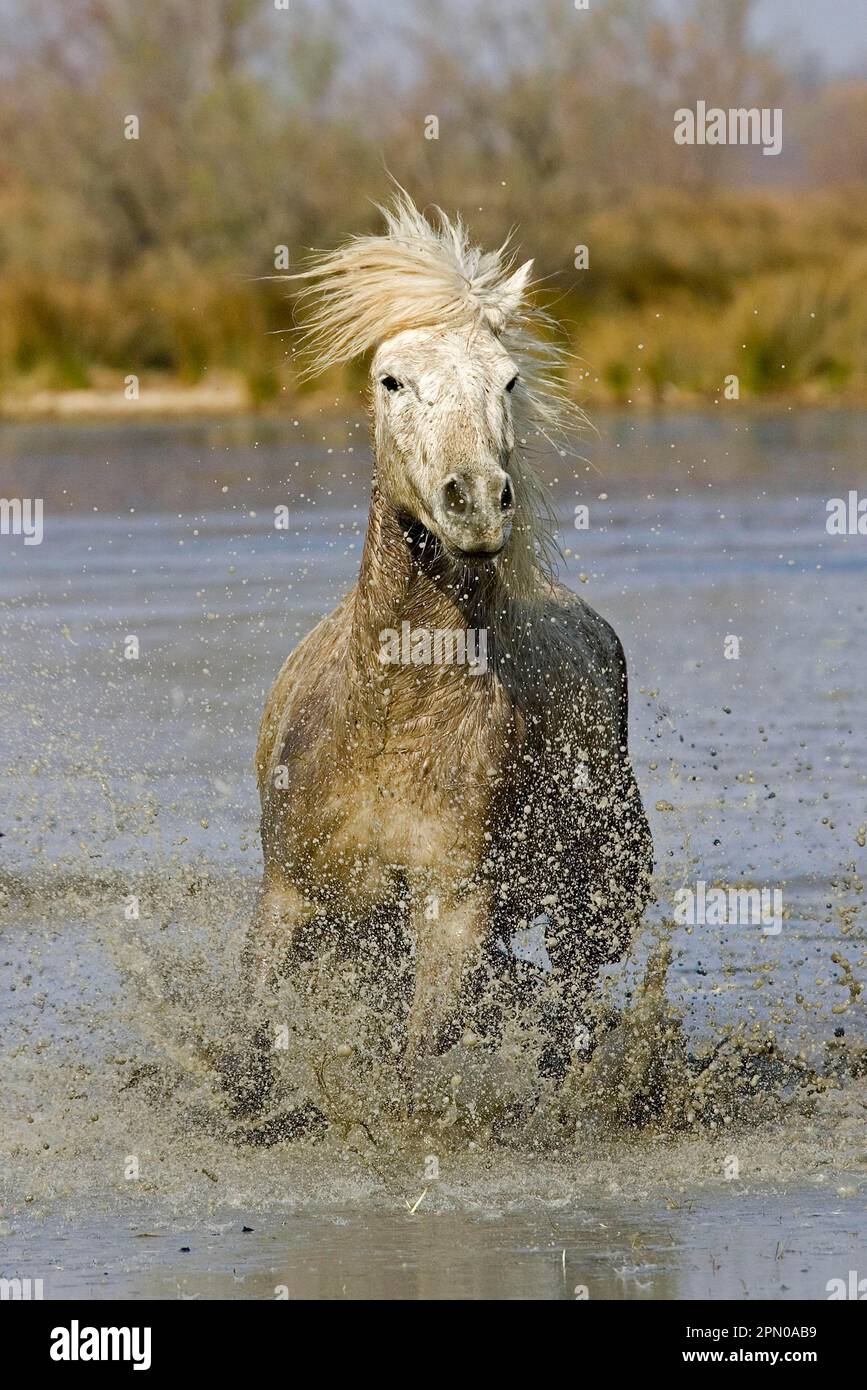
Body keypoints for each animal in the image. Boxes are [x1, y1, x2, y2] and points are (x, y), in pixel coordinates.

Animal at [242, 191, 652, 1101]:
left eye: (506, 380)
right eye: (390, 379)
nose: (476, 501)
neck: (391, 721)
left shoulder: (455, 914)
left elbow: (416, 1059)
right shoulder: (291, 897)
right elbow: (245, 1045)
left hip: (591, 901)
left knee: (566, 1005)